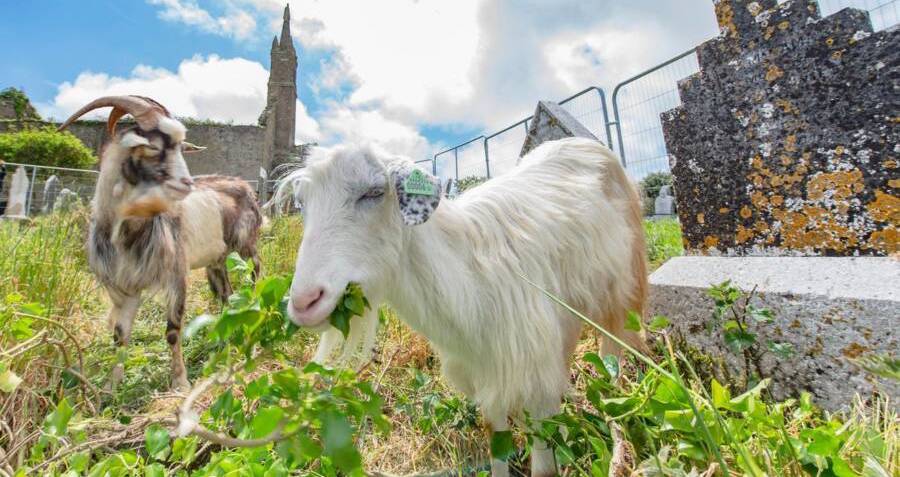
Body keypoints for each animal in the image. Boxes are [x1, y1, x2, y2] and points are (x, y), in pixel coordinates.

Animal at [59, 96, 262, 391]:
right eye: (153, 148)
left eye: (181, 148)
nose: (187, 183)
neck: (124, 236)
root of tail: (246, 187)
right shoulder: (124, 286)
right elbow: (120, 334)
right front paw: (111, 385)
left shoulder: (175, 275)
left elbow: (173, 330)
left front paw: (180, 382)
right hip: (217, 260)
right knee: (227, 294)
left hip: (247, 246)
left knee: (256, 278)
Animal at [276, 137, 648, 476]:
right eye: (302, 203)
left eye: (374, 192)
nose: (304, 301)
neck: (470, 282)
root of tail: (582, 141)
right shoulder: (484, 372)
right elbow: (498, 446)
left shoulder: (535, 378)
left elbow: (543, 465)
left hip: (623, 288)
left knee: (612, 351)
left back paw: (612, 409)